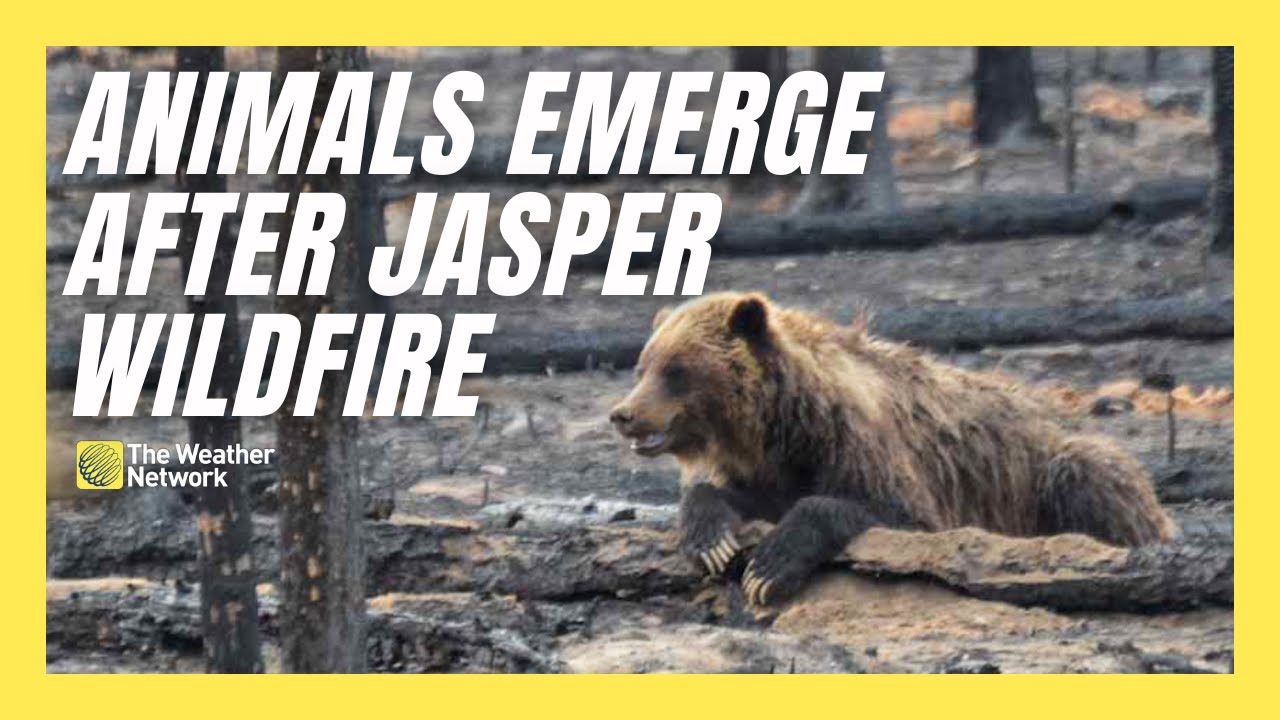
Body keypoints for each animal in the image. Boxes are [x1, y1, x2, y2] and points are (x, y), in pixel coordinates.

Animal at [608, 291, 1177, 606]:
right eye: (643, 366)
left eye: (677, 369)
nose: (623, 414)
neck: (778, 425)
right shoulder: (761, 469)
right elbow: (723, 497)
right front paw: (712, 541)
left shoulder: (859, 447)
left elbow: (888, 511)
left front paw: (768, 569)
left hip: (1050, 470)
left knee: (1091, 474)